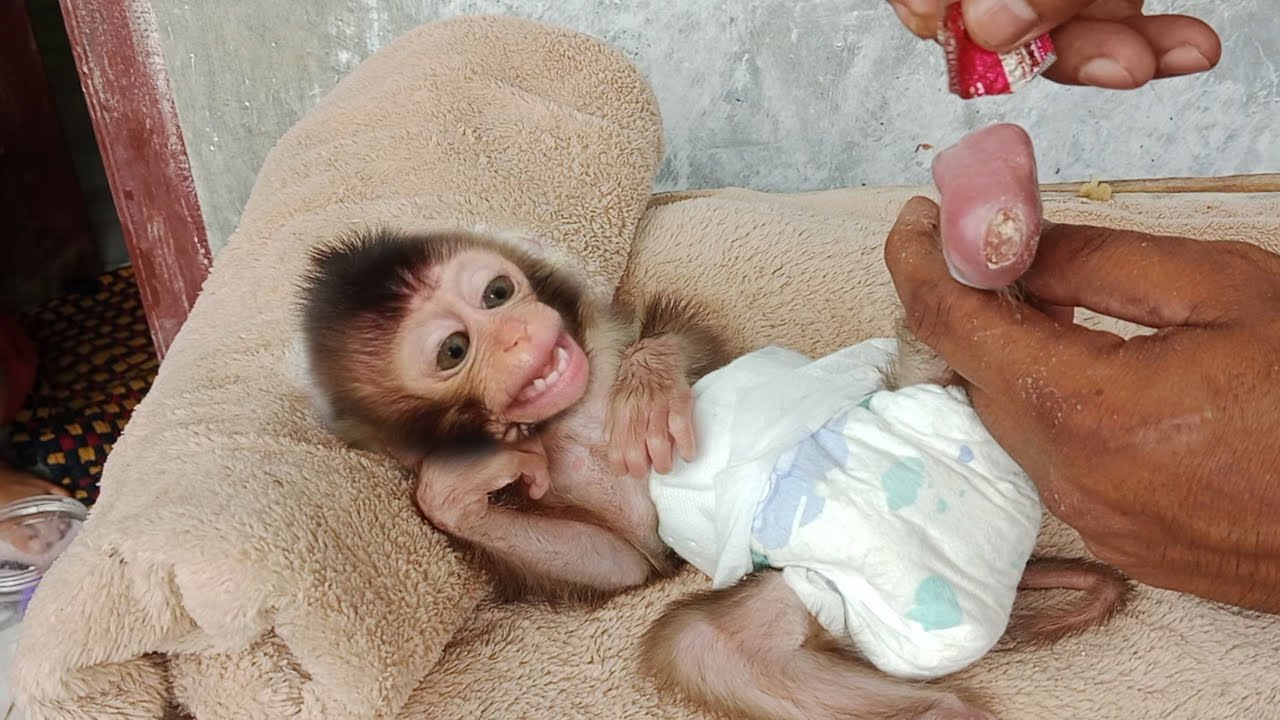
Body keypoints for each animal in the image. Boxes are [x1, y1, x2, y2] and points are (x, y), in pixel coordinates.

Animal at [296, 226, 1133, 720]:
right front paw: (458, 489)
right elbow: (625, 561)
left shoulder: (602, 337)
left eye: (496, 292)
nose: (522, 331)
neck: (561, 418)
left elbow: (691, 347)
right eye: (454, 349)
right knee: (710, 647)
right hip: (850, 594)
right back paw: (942, 710)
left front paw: (647, 385)